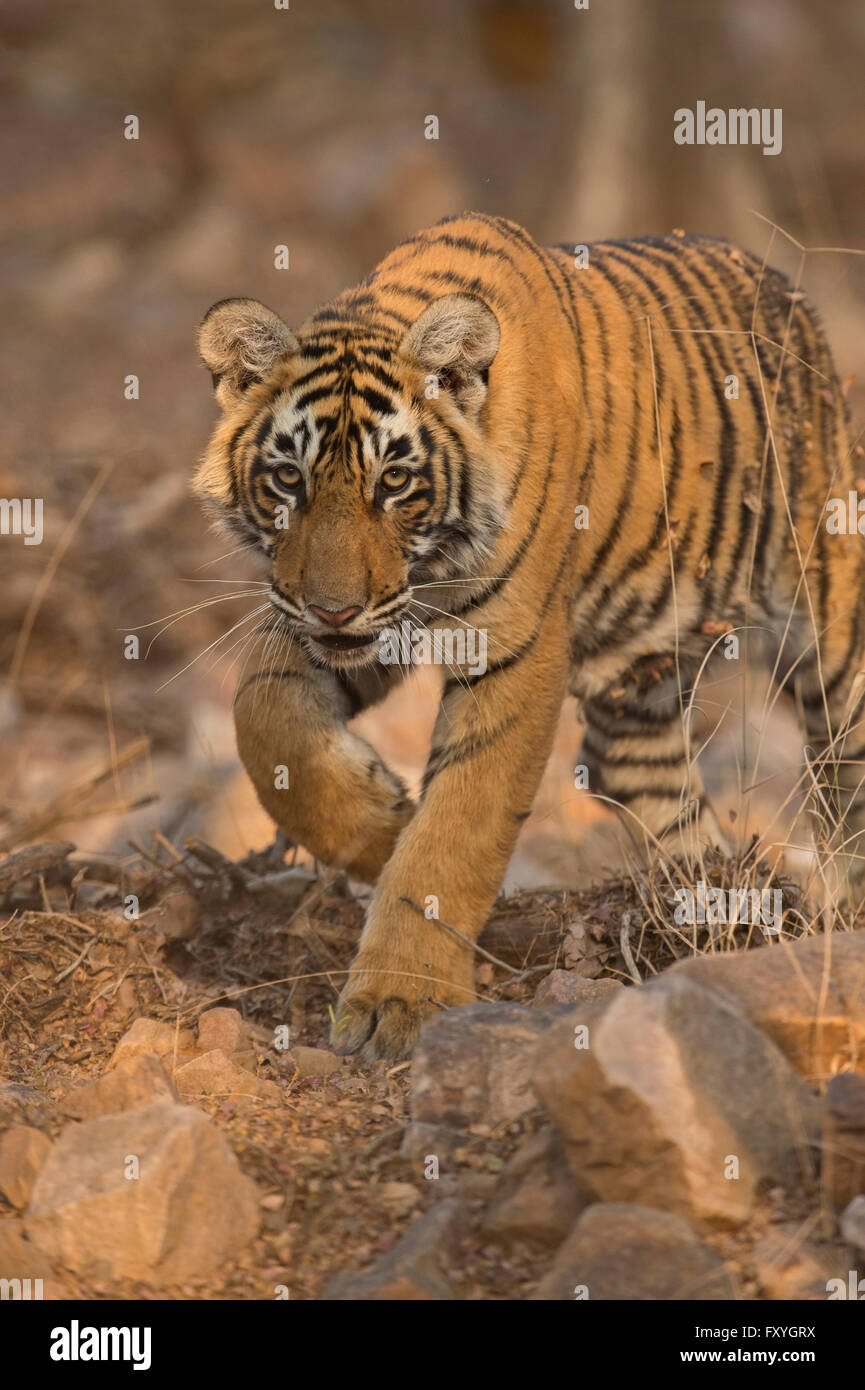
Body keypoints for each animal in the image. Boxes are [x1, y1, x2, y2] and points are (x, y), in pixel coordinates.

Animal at [194, 211, 864, 1060]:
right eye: (288, 480)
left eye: (394, 482)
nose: (333, 610)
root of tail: (790, 293)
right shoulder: (343, 621)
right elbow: (265, 724)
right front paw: (384, 822)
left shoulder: (508, 652)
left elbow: (460, 824)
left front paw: (397, 1002)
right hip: (641, 670)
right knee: (642, 771)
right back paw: (705, 906)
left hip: (829, 620)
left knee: (843, 765)